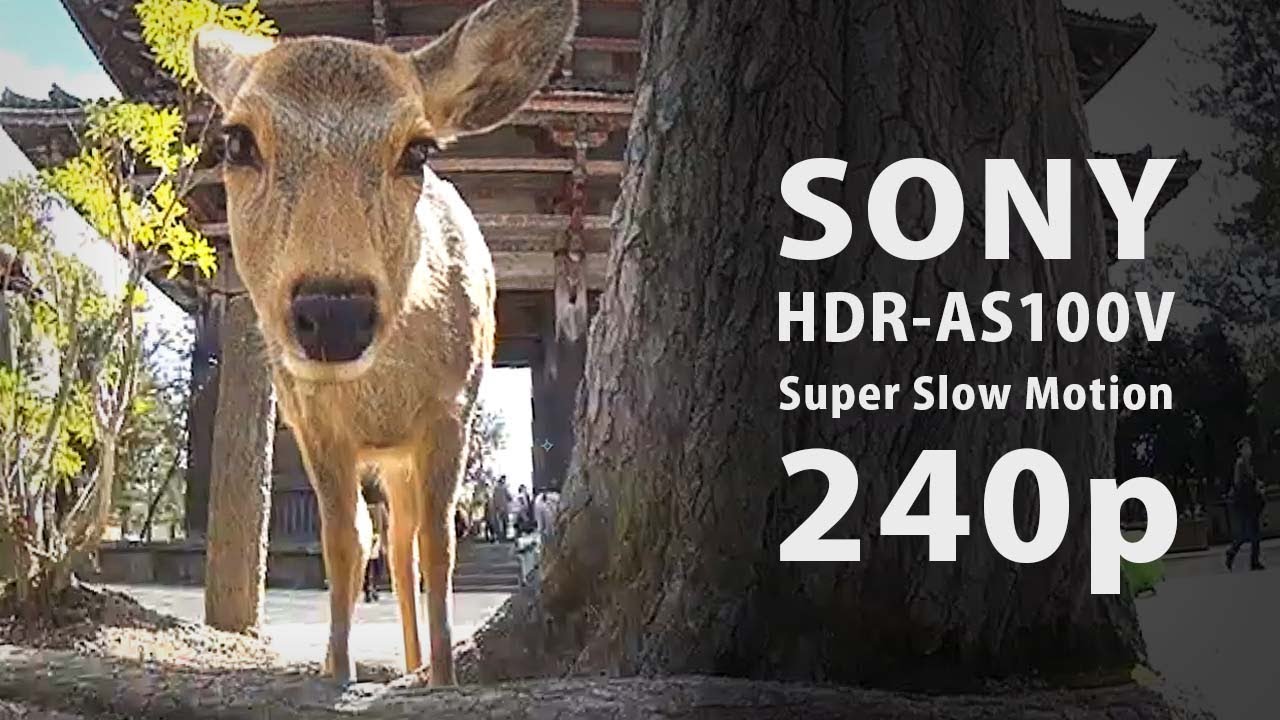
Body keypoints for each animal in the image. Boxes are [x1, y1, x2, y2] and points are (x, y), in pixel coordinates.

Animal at [190, 0, 578, 685]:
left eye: (417, 150)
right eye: (237, 141)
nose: (334, 311)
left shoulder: (452, 411)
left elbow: (439, 547)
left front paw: (445, 678)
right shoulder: (315, 422)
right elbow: (343, 541)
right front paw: (337, 670)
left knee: (405, 549)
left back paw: (415, 664)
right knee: (381, 542)